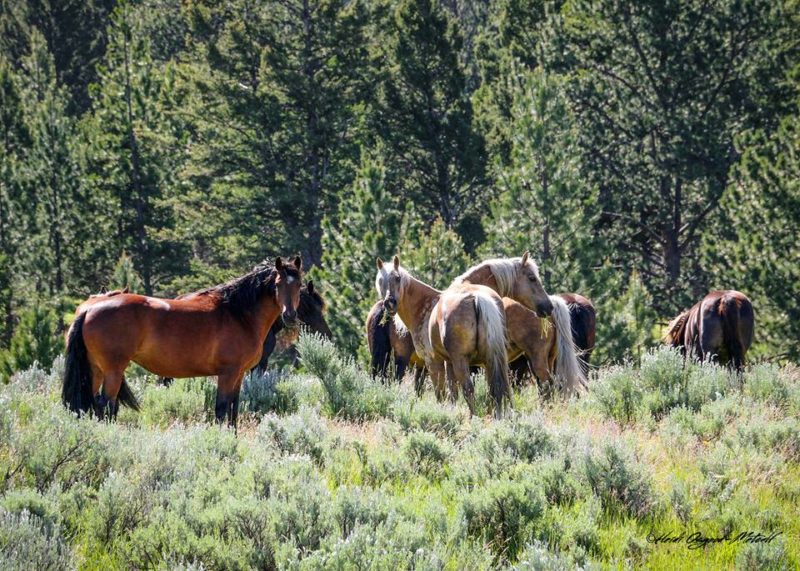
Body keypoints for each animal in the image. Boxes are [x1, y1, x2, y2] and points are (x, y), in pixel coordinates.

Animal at [62, 256, 303, 427]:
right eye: (278, 284)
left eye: (299, 285)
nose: (290, 315)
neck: (237, 313)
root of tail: (89, 309)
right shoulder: (228, 373)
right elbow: (221, 408)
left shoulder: (239, 374)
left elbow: (233, 410)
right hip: (113, 370)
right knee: (105, 405)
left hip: (96, 370)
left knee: (92, 404)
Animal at [377, 256, 511, 418]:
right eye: (380, 280)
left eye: (397, 278)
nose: (390, 303)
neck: (425, 307)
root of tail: (478, 297)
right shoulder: (449, 363)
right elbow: (453, 392)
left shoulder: (433, 362)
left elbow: (440, 393)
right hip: (492, 359)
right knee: (498, 388)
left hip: (462, 361)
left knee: (469, 389)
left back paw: (473, 417)